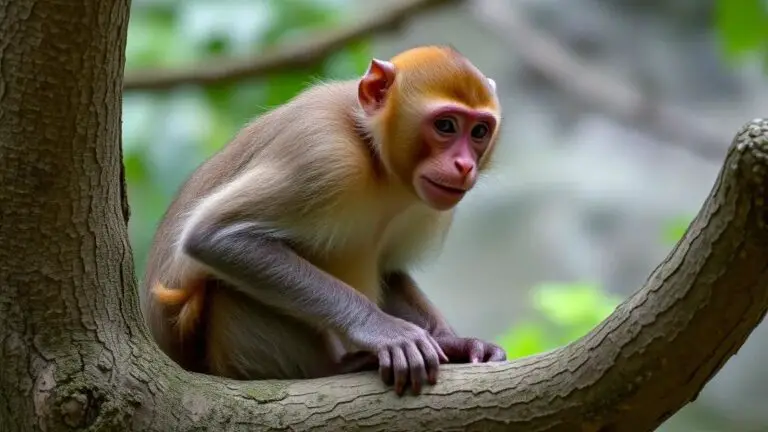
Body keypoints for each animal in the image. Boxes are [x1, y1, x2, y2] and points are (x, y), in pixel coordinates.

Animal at [141, 45, 507, 396]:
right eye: (446, 125)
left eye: (479, 131)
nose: (464, 165)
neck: (374, 155)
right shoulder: (322, 156)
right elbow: (214, 237)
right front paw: (383, 330)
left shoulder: (425, 204)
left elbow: (389, 271)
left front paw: (454, 343)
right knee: (225, 287)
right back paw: (340, 367)